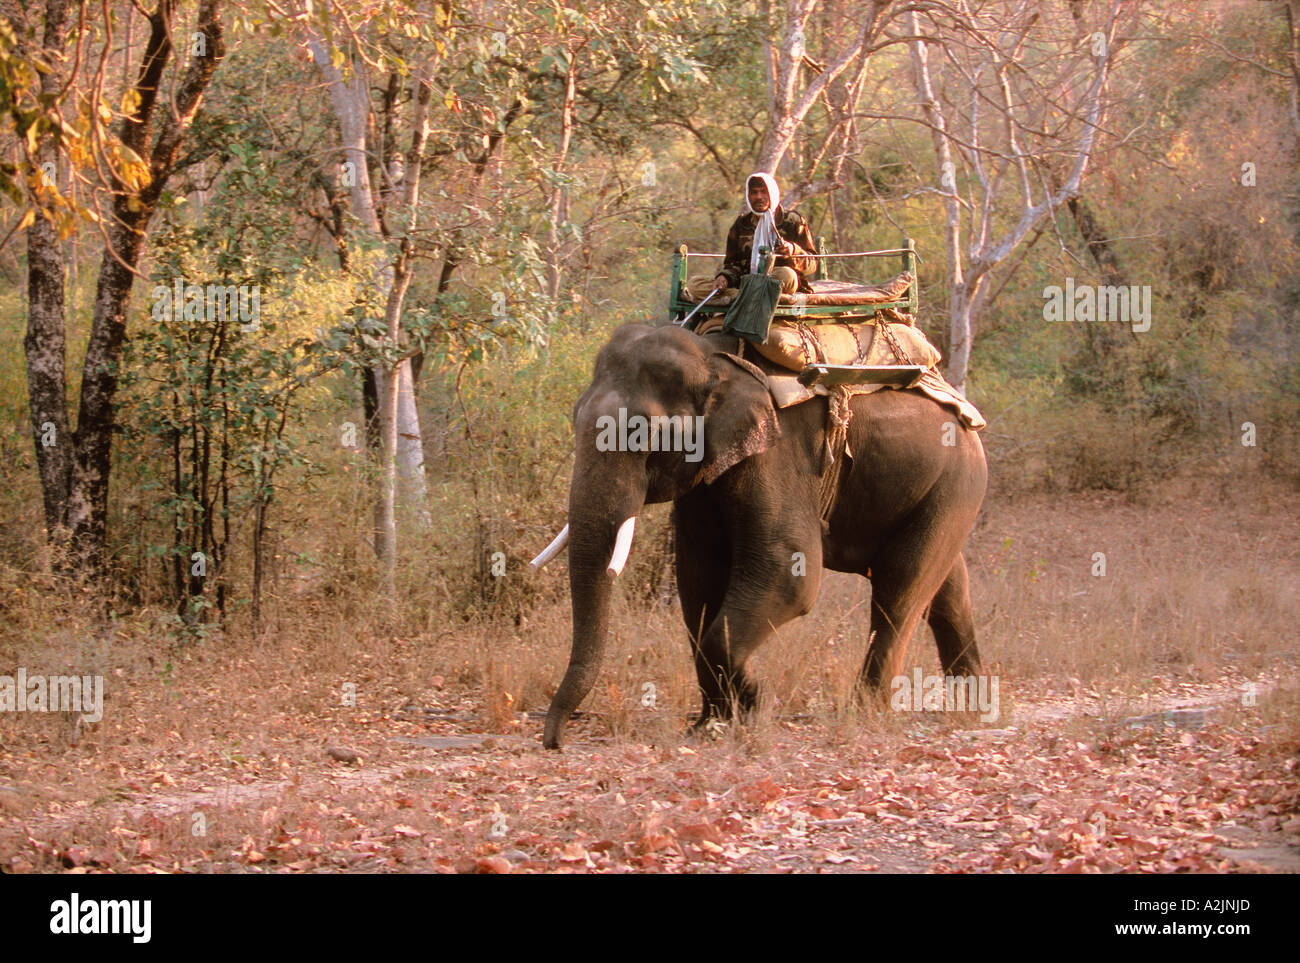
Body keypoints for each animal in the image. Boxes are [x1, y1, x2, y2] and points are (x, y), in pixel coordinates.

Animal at [534, 322, 987, 749]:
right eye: (575, 418)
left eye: (643, 434)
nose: (556, 742)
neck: (714, 356)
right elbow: (698, 575)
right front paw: (711, 724)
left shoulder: (781, 449)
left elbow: (789, 570)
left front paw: (753, 704)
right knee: (947, 589)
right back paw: (971, 709)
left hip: (957, 481)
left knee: (900, 589)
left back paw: (866, 713)